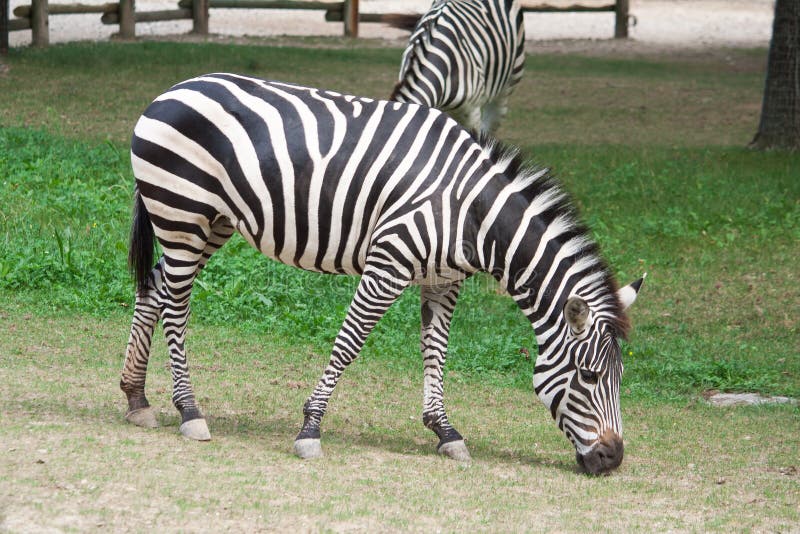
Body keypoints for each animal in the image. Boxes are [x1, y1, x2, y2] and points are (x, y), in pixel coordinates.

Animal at [121, 73, 644, 475]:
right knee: (175, 304)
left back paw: (137, 399)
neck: (471, 212)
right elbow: (349, 344)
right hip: (182, 213)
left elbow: (436, 351)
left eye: (621, 377)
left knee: (154, 287)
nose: (613, 459)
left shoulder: (443, 280)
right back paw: (189, 410)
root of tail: (174, 89)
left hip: (211, 222)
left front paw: (445, 431)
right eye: (590, 376)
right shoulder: (387, 264)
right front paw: (310, 428)